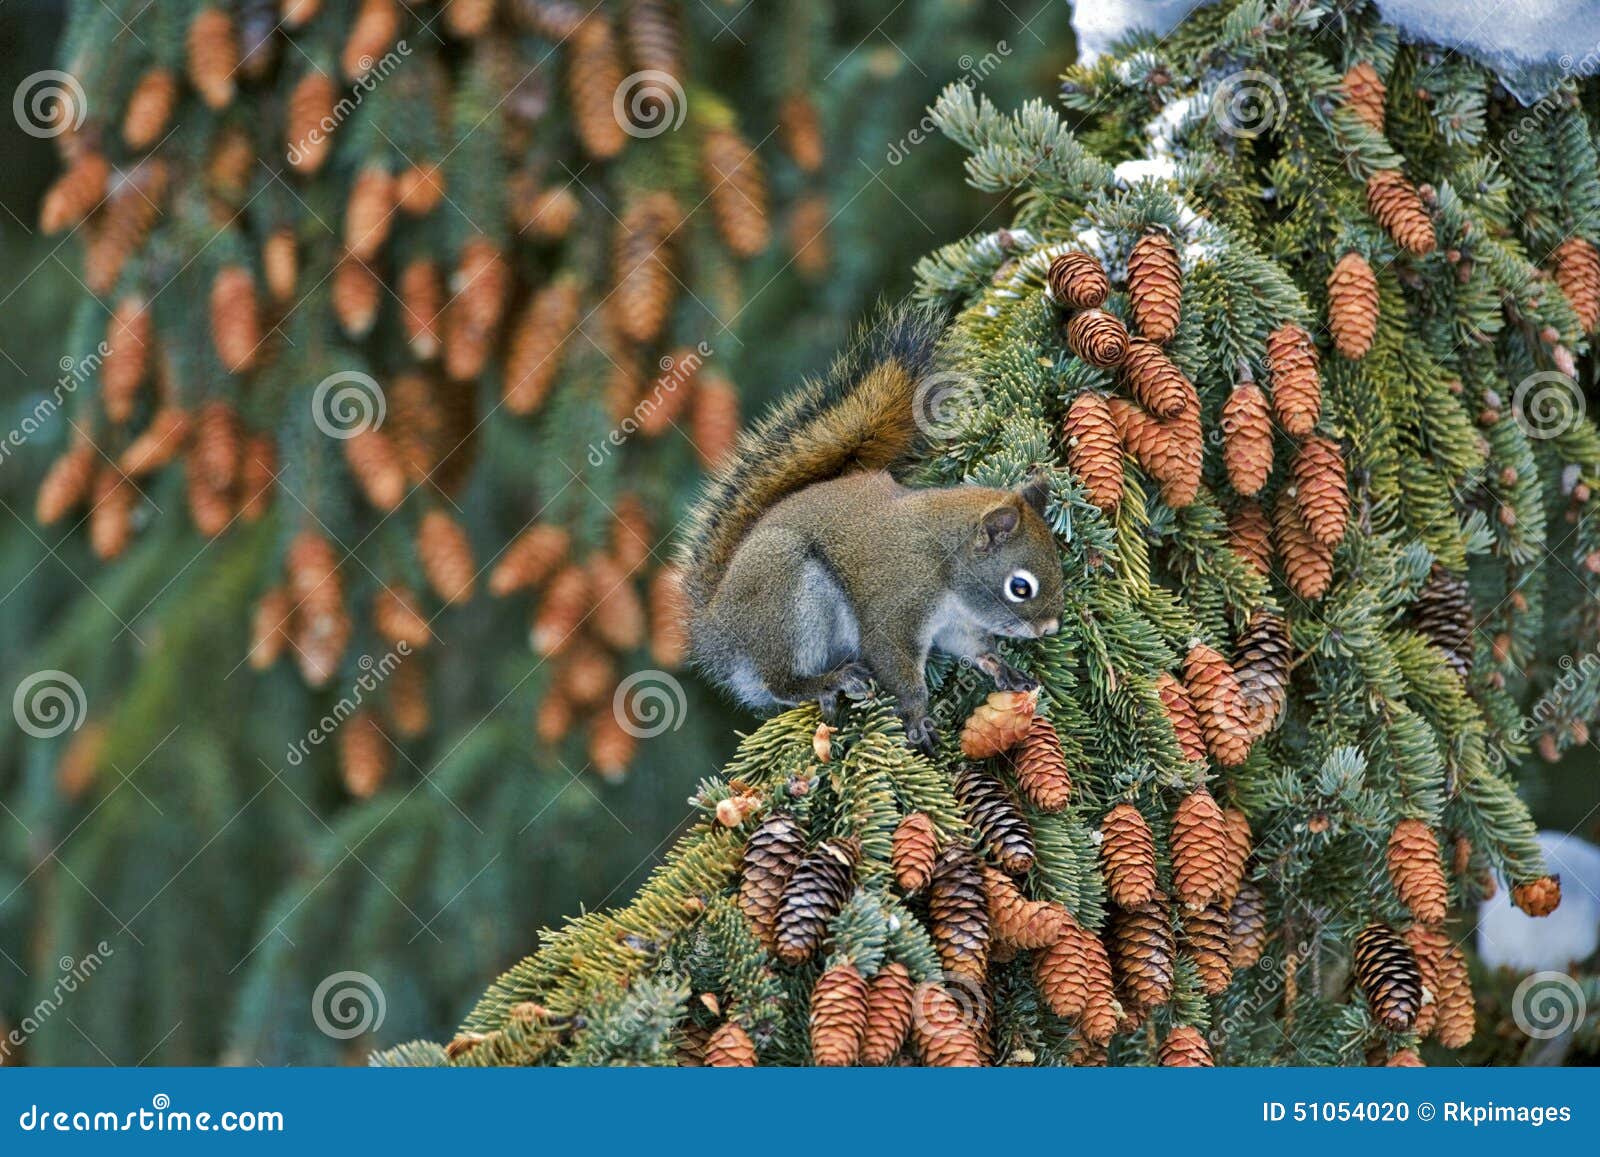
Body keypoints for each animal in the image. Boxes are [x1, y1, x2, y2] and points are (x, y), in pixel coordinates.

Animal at [679, 305, 1064, 753]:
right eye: (1020, 587)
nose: (1050, 629)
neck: (944, 563)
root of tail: (714, 628)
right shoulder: (895, 608)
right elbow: (897, 666)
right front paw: (917, 718)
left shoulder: (955, 623)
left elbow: (973, 647)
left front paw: (1001, 667)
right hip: (788, 594)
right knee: (779, 681)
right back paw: (829, 682)